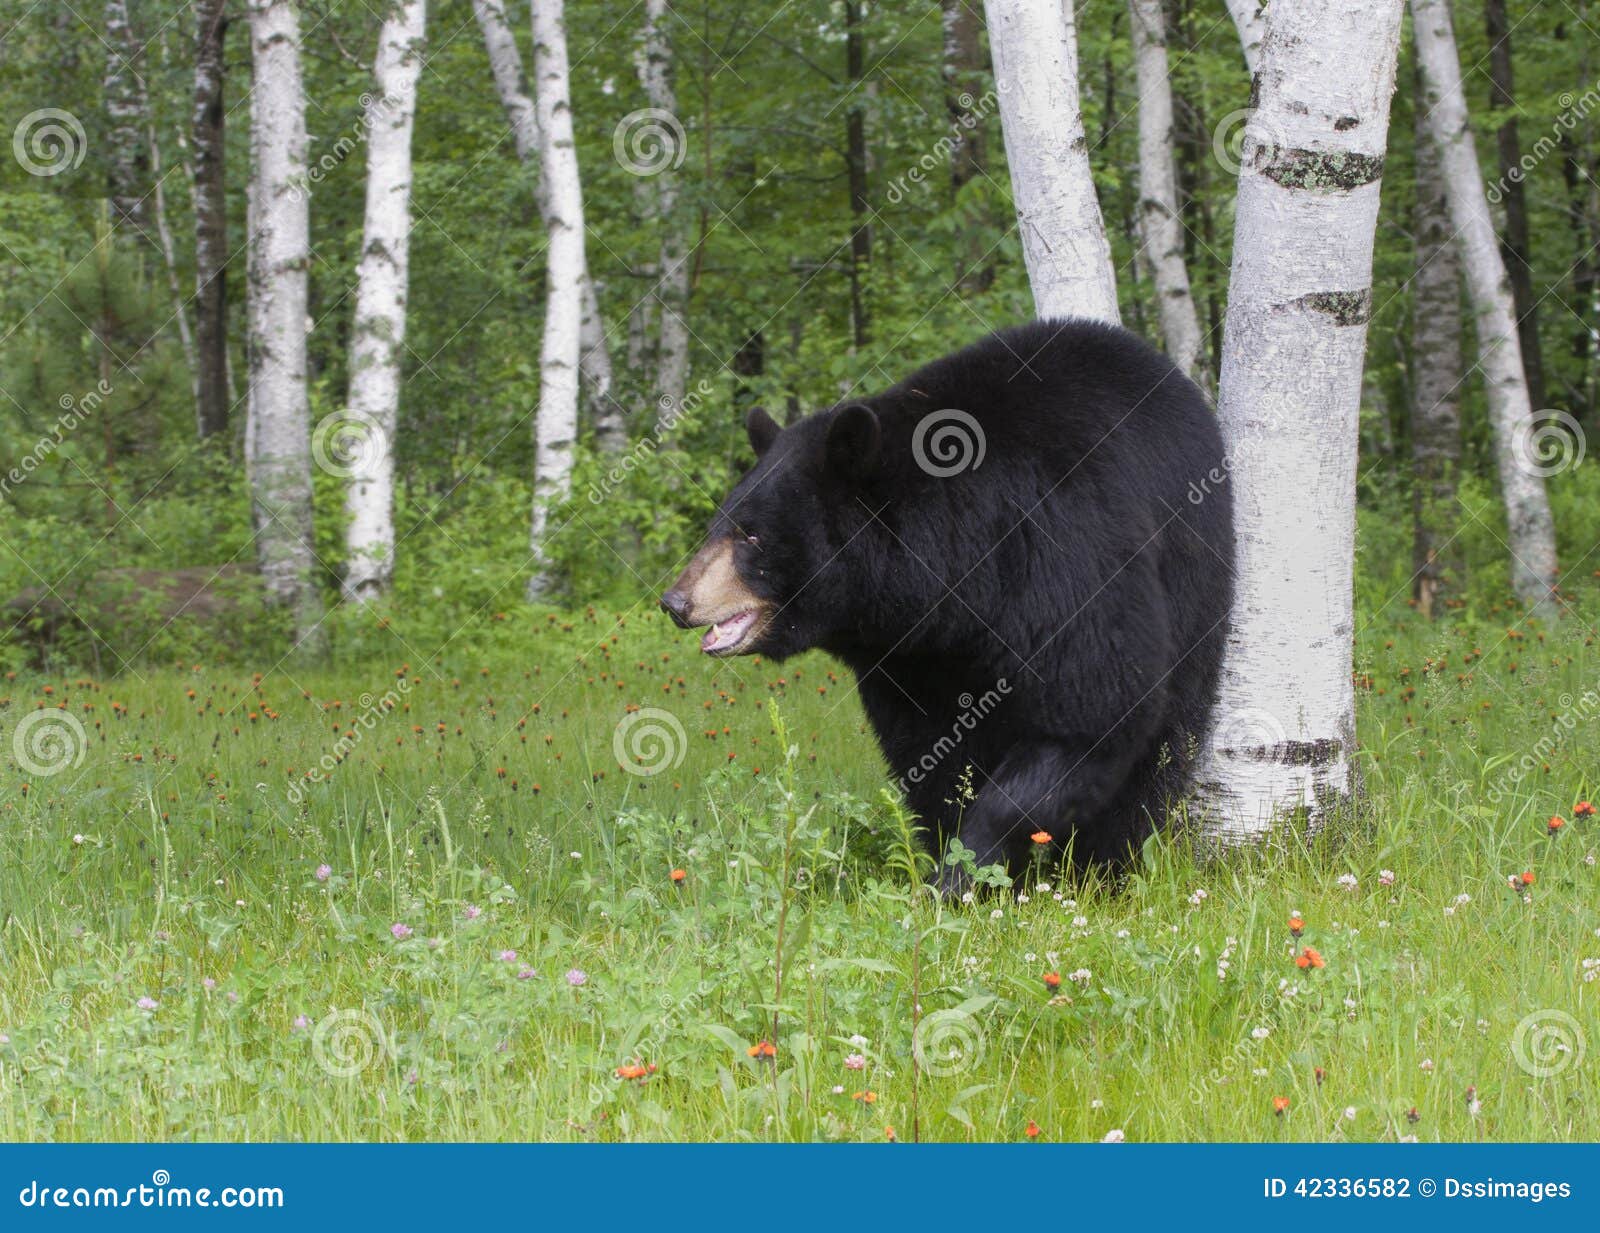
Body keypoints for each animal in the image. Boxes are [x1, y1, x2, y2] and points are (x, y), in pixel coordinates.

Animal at [662, 319, 1234, 882]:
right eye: (718, 524)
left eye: (752, 535)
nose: (675, 600)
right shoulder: (912, 654)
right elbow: (929, 755)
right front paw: (947, 855)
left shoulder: (1066, 556)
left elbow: (1094, 707)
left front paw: (962, 874)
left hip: (1194, 590)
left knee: (1164, 746)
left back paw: (1112, 864)